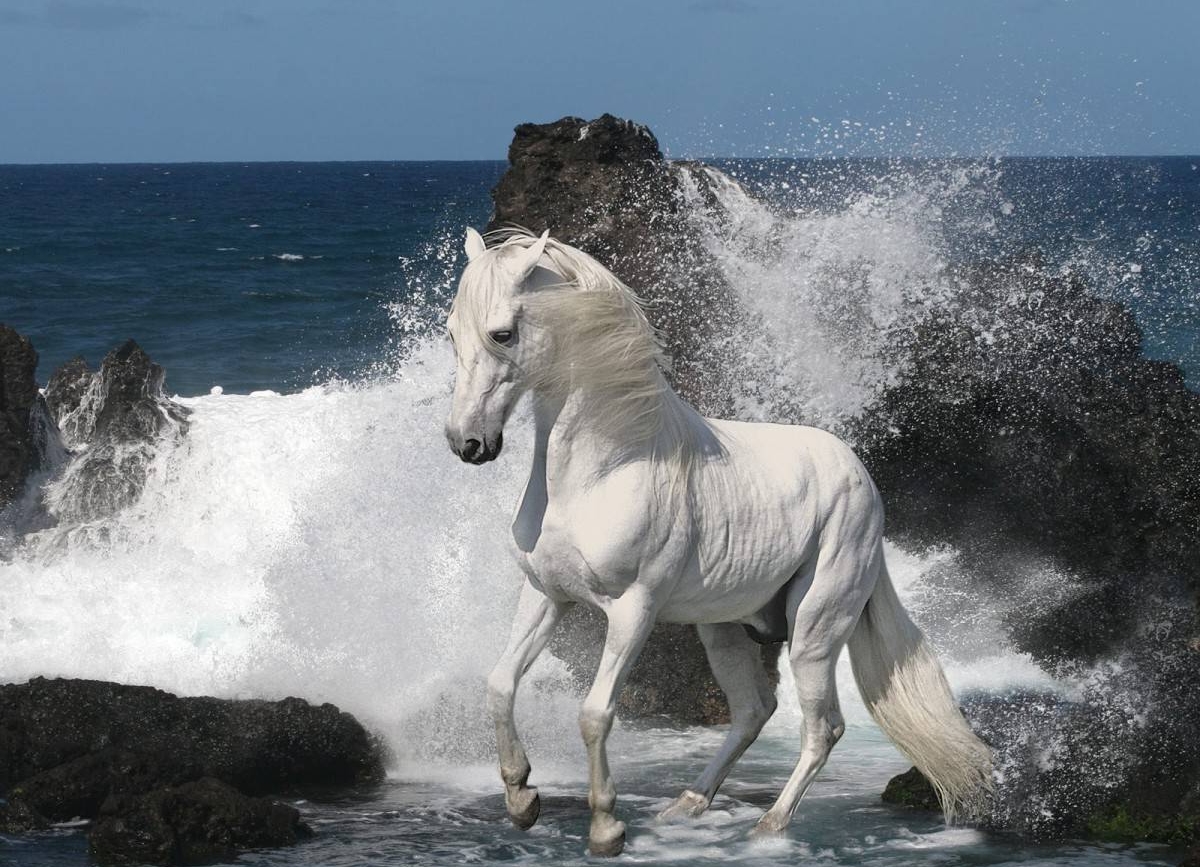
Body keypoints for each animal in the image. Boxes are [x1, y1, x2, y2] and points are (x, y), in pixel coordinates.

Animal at [444, 226, 992, 856]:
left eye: (502, 333)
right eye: (452, 332)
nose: (467, 443)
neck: (603, 470)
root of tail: (862, 479)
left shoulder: (633, 610)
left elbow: (595, 713)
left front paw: (606, 828)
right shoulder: (545, 595)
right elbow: (500, 684)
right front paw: (521, 800)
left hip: (814, 630)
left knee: (821, 726)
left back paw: (769, 826)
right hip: (723, 628)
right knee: (755, 709)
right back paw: (688, 804)